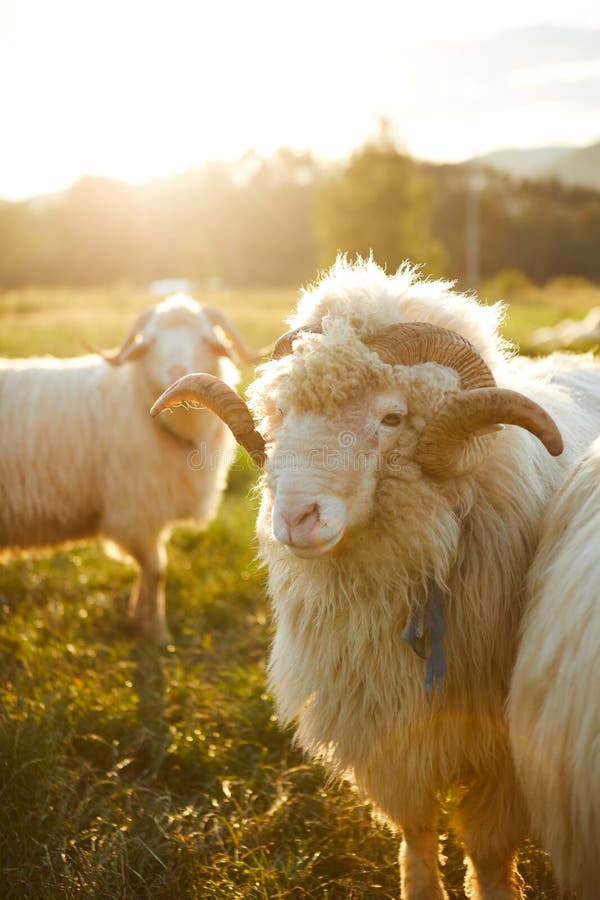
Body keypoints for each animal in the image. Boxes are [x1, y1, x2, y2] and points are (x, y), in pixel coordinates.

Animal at [0, 293, 259, 640]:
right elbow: (157, 569)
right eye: (149, 342)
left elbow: (149, 570)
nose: (177, 372)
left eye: (206, 339)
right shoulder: (134, 512)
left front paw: (138, 618)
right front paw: (157, 632)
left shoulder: (153, 511)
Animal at [152, 258, 600, 898]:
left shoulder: (505, 759)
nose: (295, 518)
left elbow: (488, 850)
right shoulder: (387, 735)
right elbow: (415, 830)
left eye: (392, 417)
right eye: (280, 413)